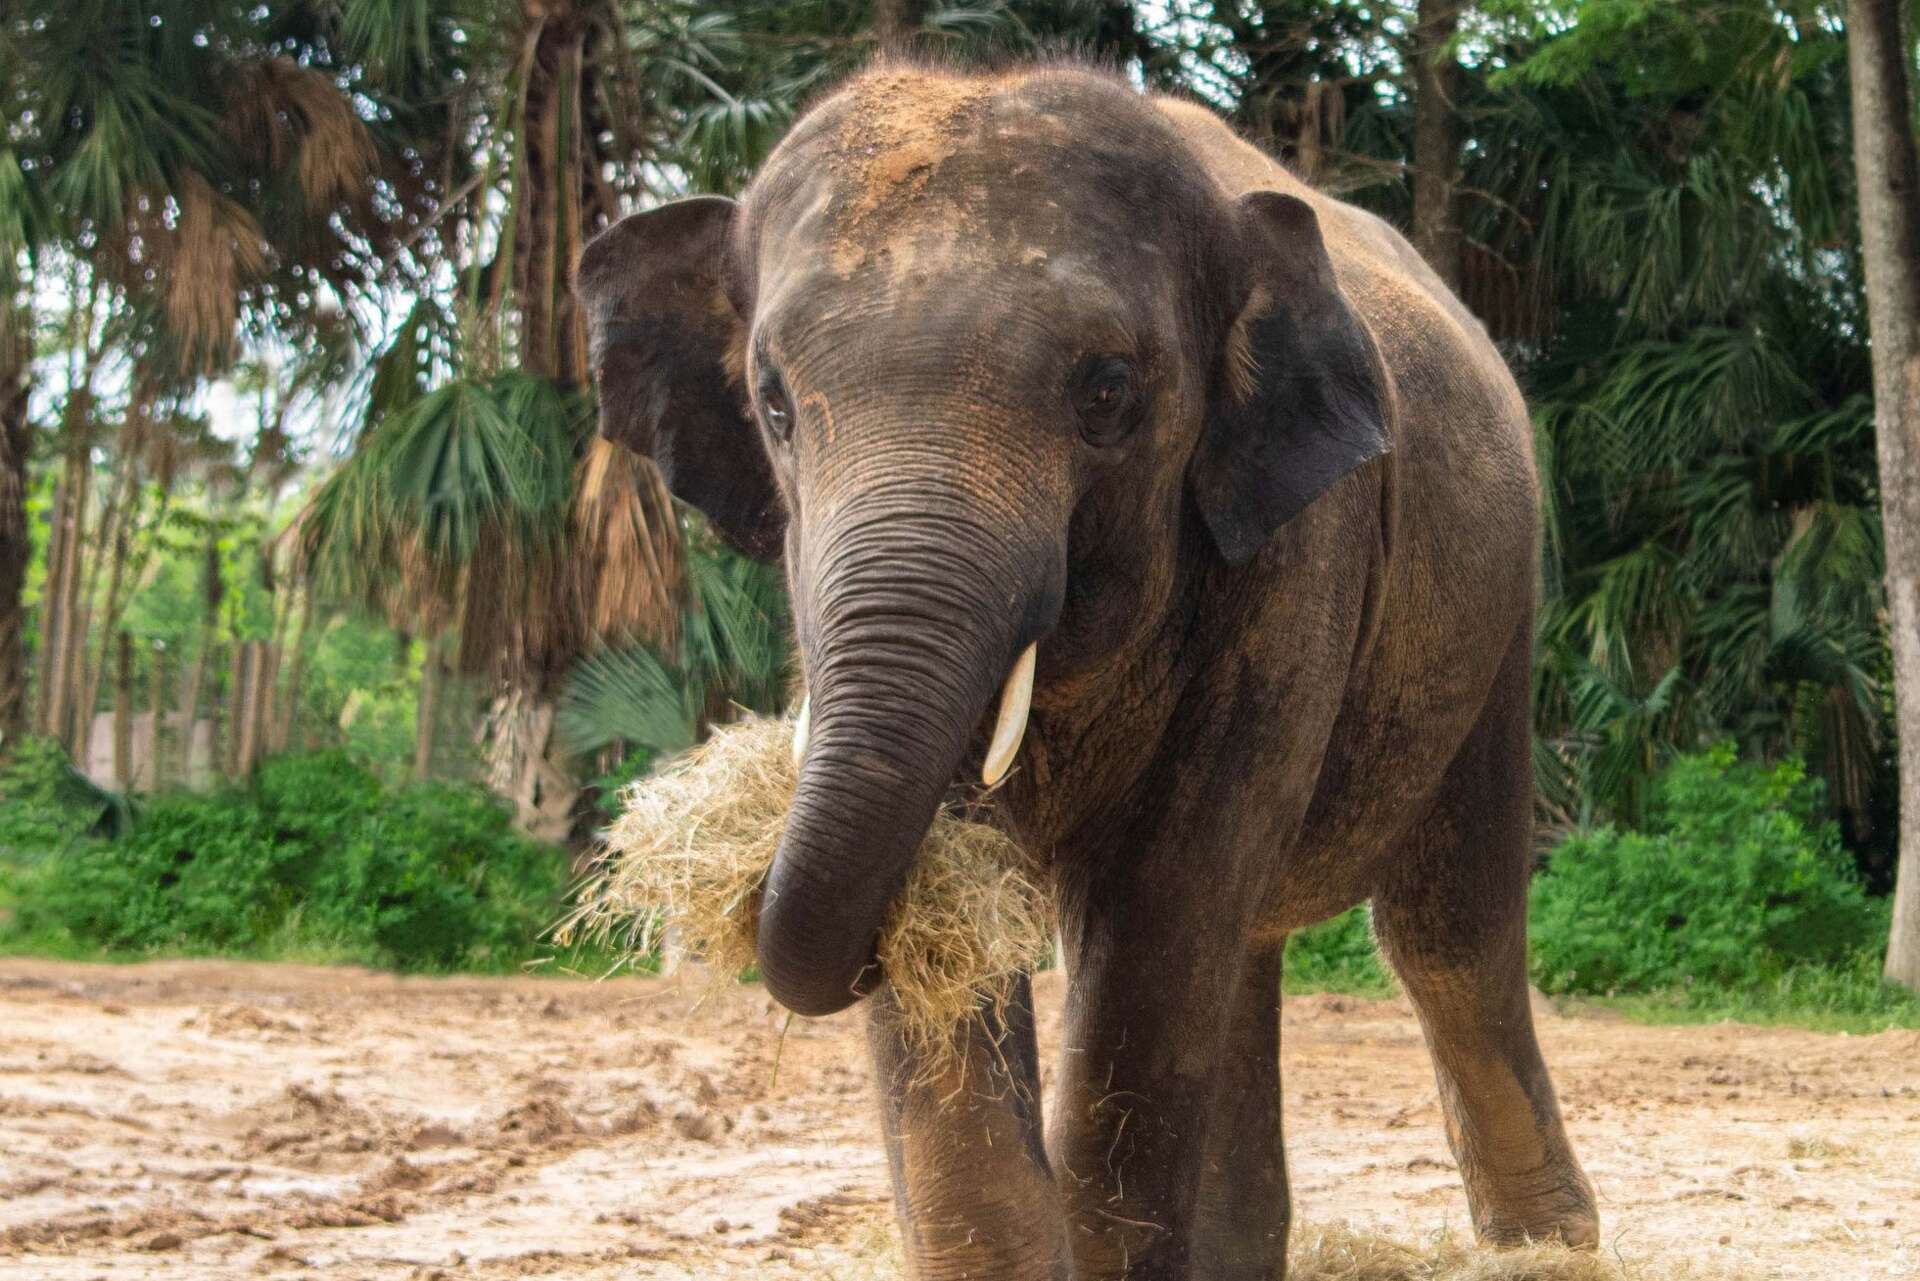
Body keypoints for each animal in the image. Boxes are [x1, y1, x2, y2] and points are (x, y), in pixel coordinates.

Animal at [578, 62, 1599, 1281]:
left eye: (1108, 392)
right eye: (773, 404)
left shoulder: (1303, 555)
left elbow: (1158, 908)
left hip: (1503, 612)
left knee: (1446, 930)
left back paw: (1552, 1246)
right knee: (1250, 946)